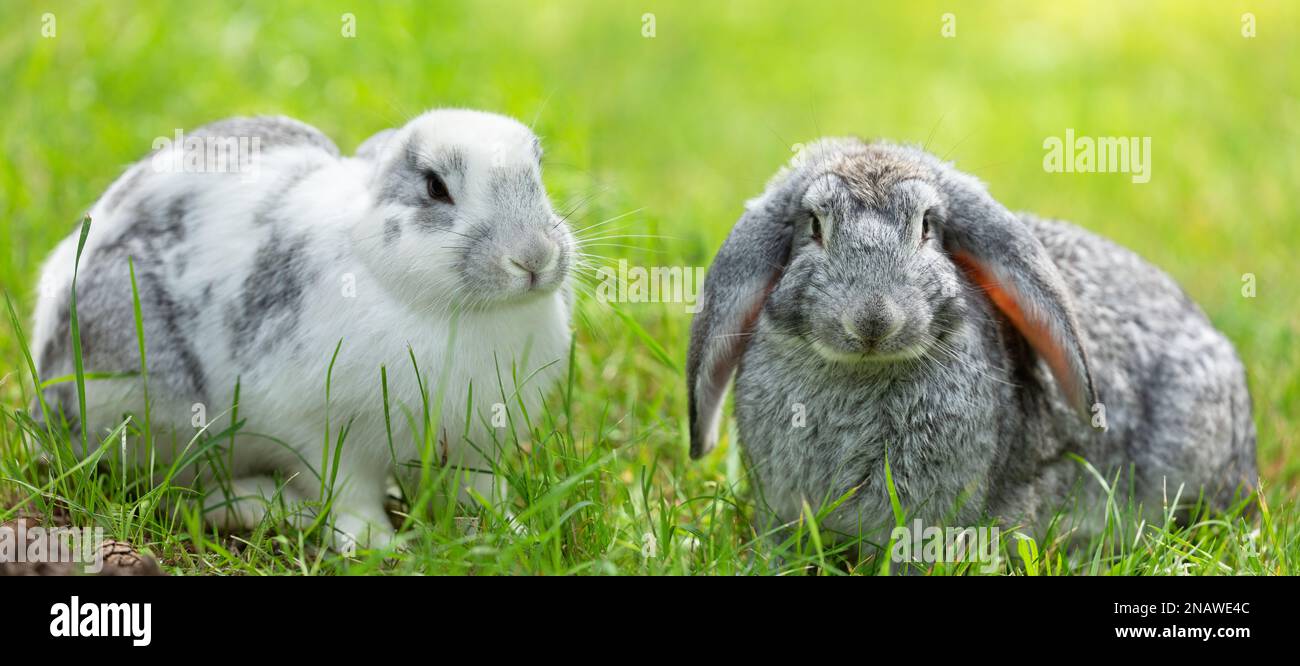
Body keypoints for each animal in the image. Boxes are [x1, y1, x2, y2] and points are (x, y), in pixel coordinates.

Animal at [30, 109, 576, 552]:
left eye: (538, 171)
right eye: (435, 187)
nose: (533, 257)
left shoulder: (478, 441)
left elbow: (478, 493)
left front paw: (511, 533)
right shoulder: (321, 433)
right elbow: (349, 494)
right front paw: (377, 546)